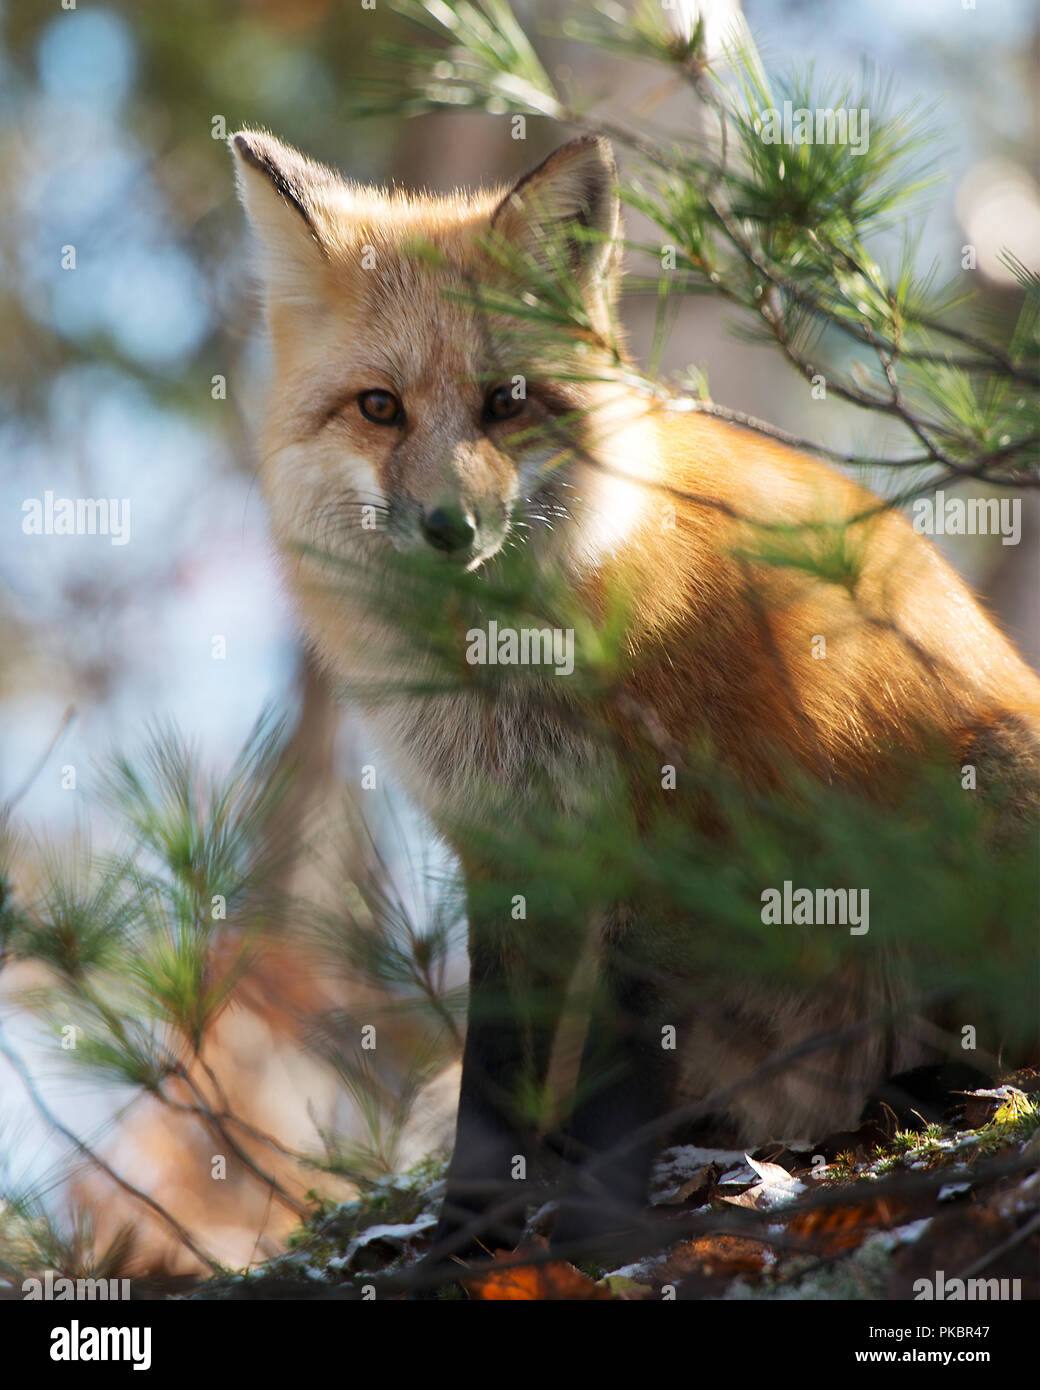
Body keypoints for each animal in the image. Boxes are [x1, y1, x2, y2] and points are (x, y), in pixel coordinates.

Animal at [230, 128, 1040, 1272]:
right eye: (379, 408)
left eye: (508, 400)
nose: (448, 527)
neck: (498, 671)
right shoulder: (508, 850)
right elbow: (495, 1077)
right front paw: (469, 1232)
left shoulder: (670, 849)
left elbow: (622, 1071)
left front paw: (590, 1238)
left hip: (967, 801)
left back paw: (919, 1093)